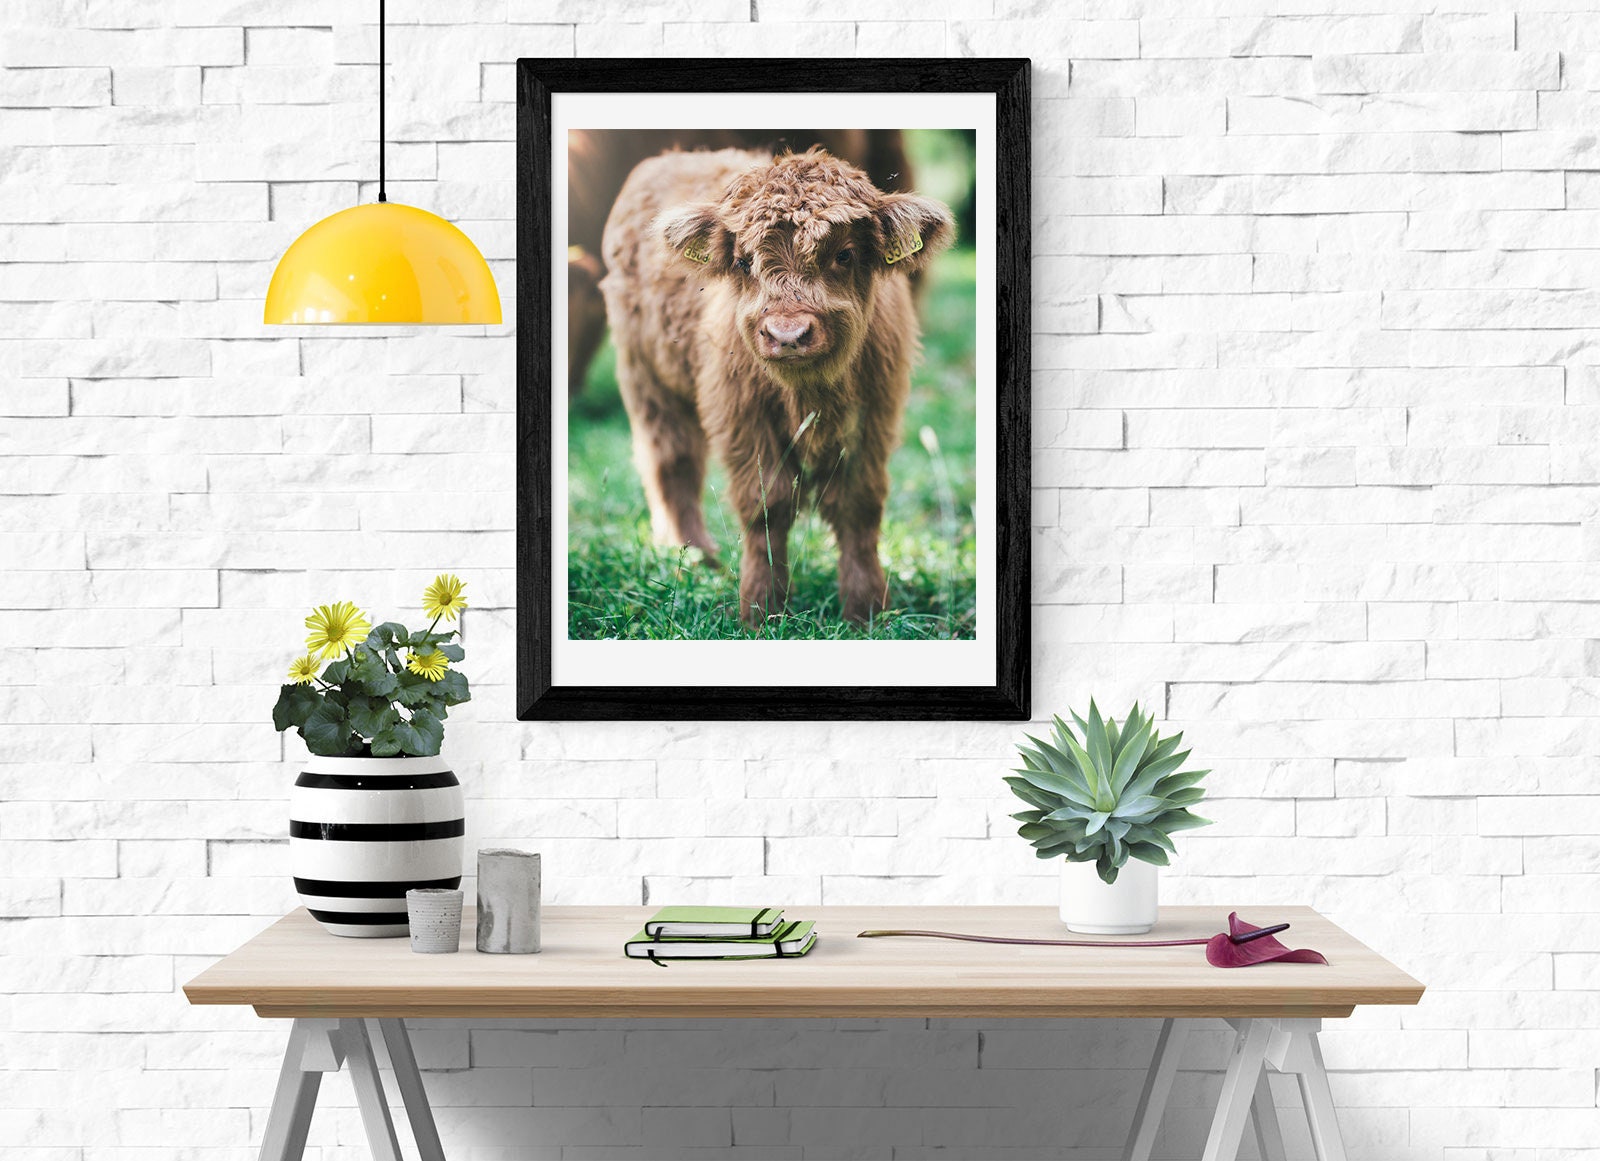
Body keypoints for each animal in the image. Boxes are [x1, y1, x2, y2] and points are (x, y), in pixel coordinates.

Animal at [599, 146, 954, 629]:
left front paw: (866, 610)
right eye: (744, 260)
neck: (811, 396)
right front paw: (760, 609)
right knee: (672, 459)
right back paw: (695, 557)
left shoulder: (874, 417)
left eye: (844, 254)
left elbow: (859, 505)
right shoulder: (742, 418)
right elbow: (767, 504)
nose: (788, 335)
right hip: (647, 377)